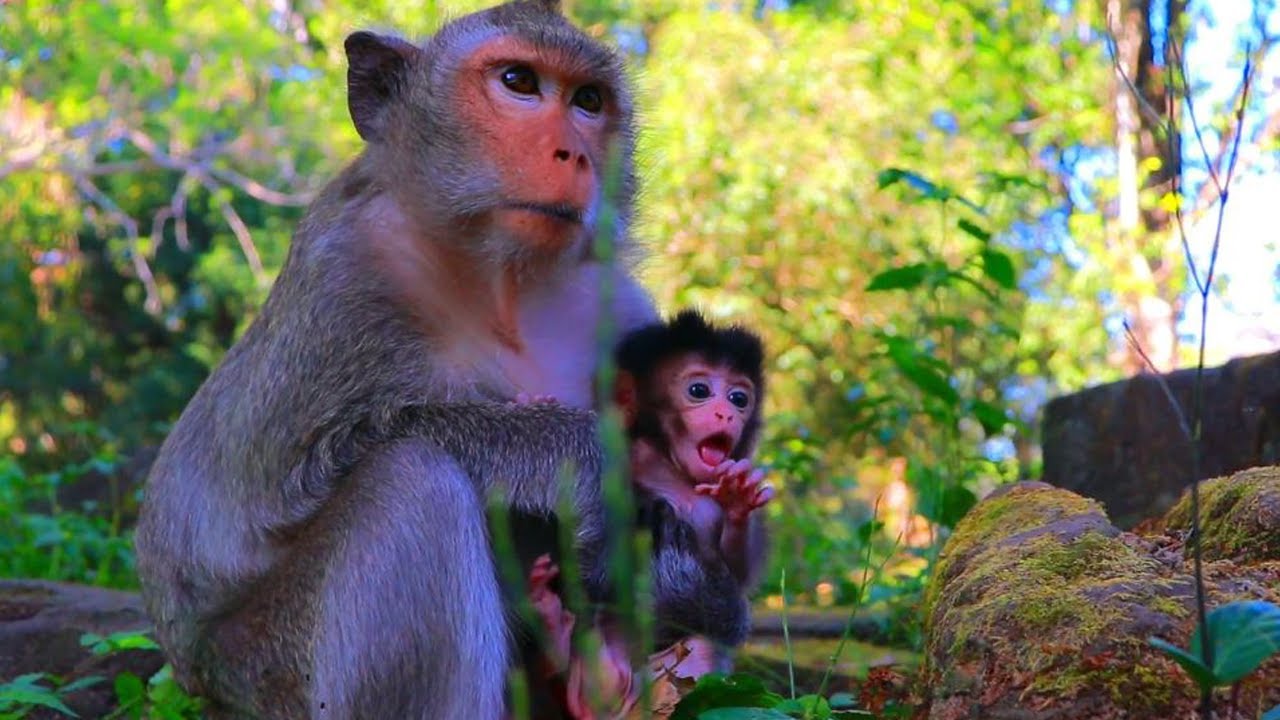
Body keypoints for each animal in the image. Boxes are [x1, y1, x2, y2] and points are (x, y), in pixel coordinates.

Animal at [132, 3, 685, 718]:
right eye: (519, 81)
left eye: (588, 101)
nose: (576, 153)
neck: (495, 278)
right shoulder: (343, 274)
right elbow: (296, 477)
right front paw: (585, 454)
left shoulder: (620, 304)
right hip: (266, 670)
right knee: (414, 483)